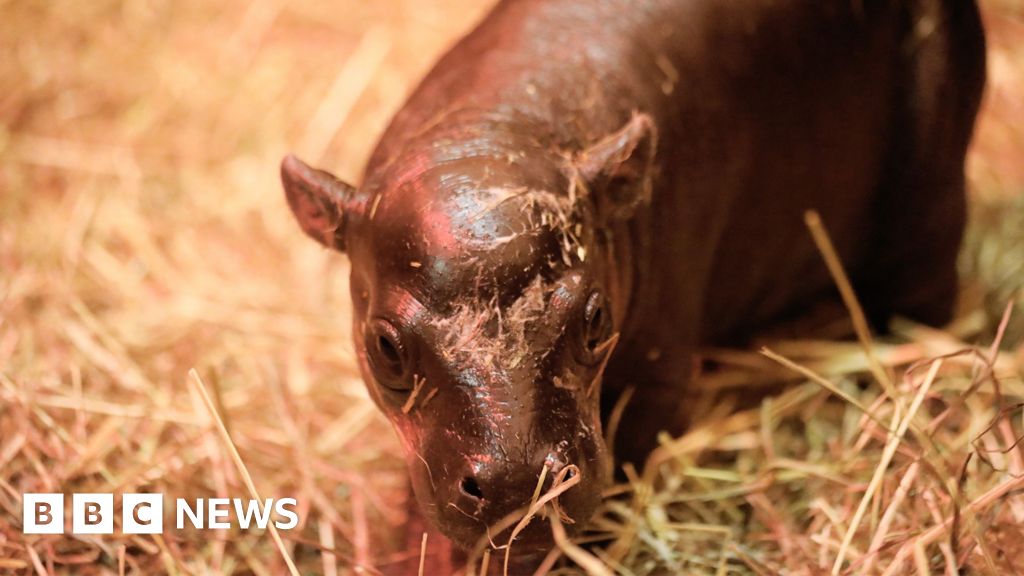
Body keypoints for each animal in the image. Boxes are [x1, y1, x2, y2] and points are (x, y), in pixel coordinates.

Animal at [280, 0, 985, 560]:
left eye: (595, 320)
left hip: (929, 204)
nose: (518, 483)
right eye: (384, 347)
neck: (489, 130)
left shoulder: (657, 372)